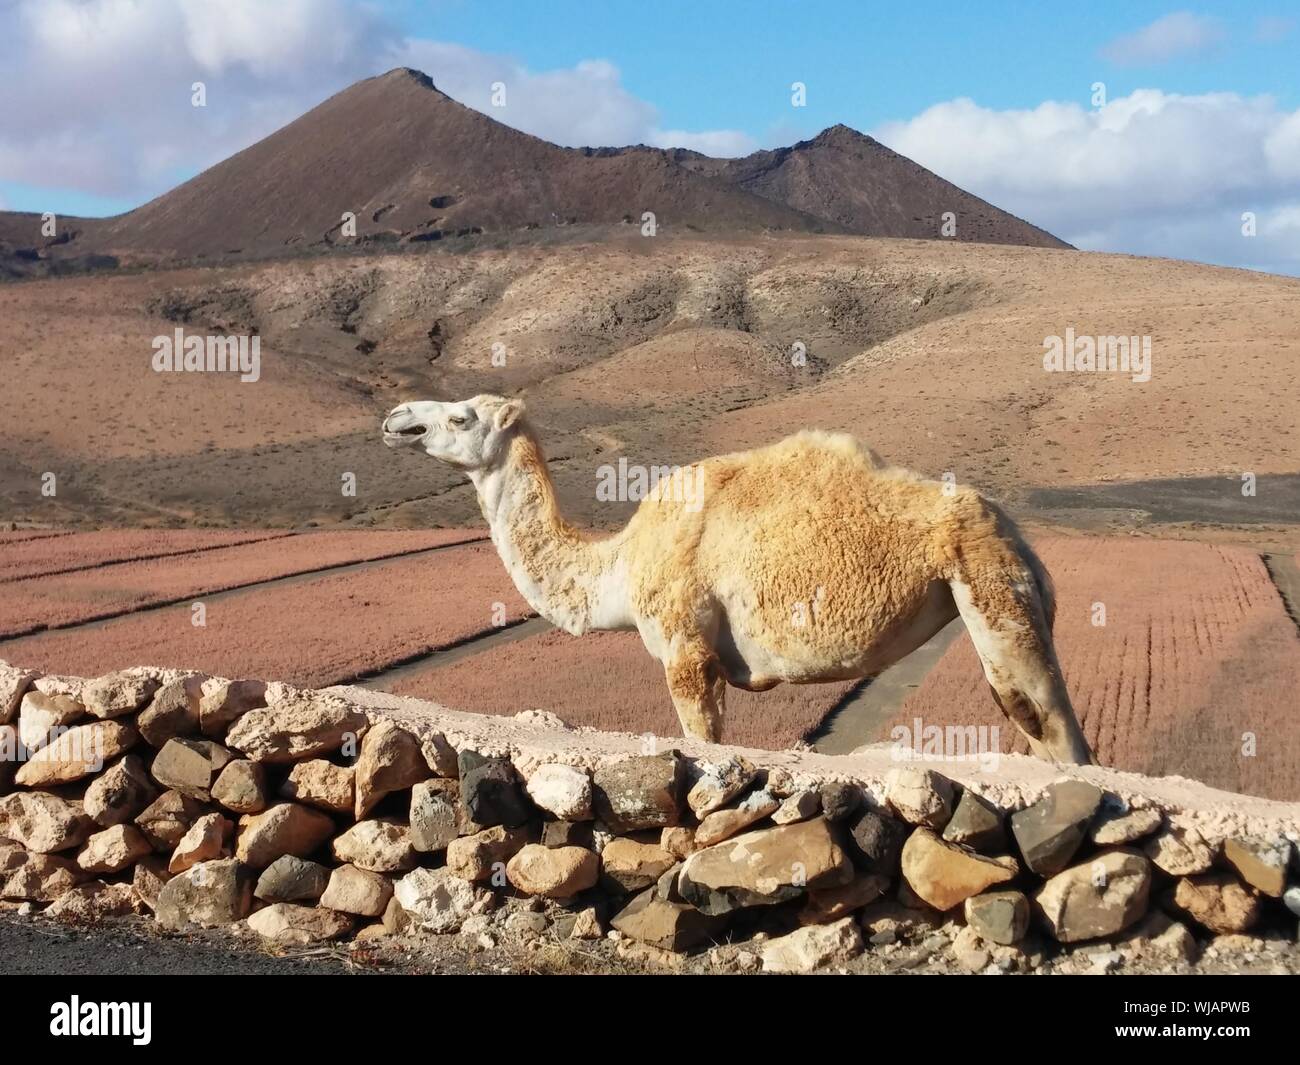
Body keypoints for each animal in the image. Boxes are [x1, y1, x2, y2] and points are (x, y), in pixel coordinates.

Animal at [382, 394, 1094, 764]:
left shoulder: (685, 647)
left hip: (991, 589)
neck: (620, 565)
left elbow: (702, 743)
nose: (397, 419)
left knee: (1047, 720)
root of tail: (1019, 538)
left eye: (461, 417)